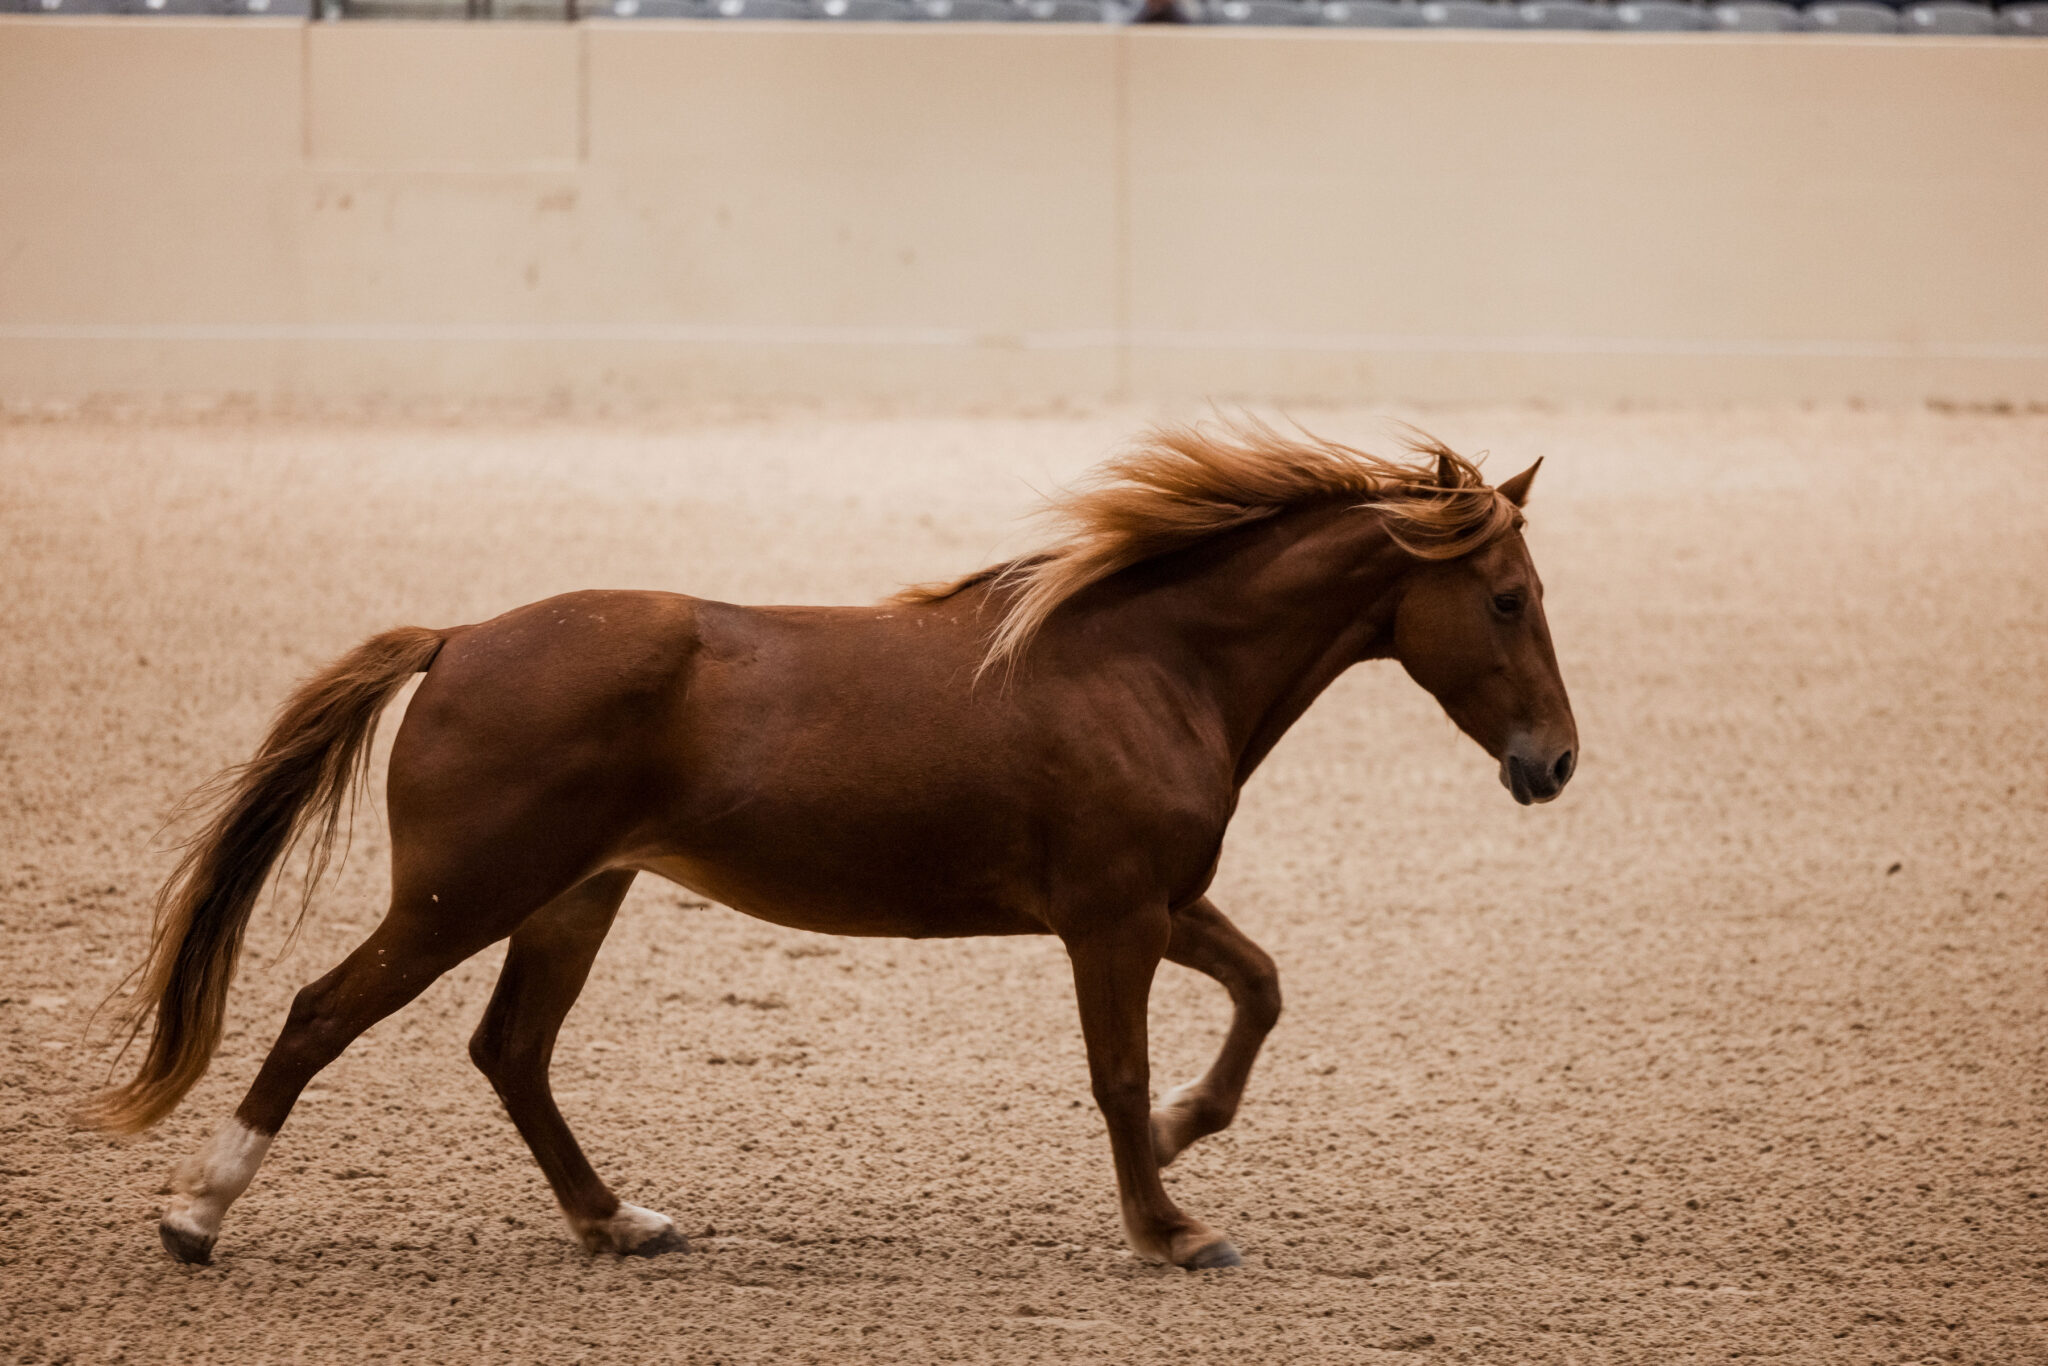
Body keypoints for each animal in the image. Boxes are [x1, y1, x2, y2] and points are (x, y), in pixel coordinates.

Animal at [80, 418, 1576, 1272]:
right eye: (1506, 599)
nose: (1554, 761)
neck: (1150, 663)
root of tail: (455, 638)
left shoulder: (1163, 901)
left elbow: (1260, 989)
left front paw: (1184, 1136)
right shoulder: (1111, 917)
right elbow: (1115, 1071)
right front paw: (1170, 1226)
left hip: (571, 896)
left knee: (511, 1051)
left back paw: (617, 1221)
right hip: (466, 893)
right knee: (321, 1013)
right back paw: (196, 1217)